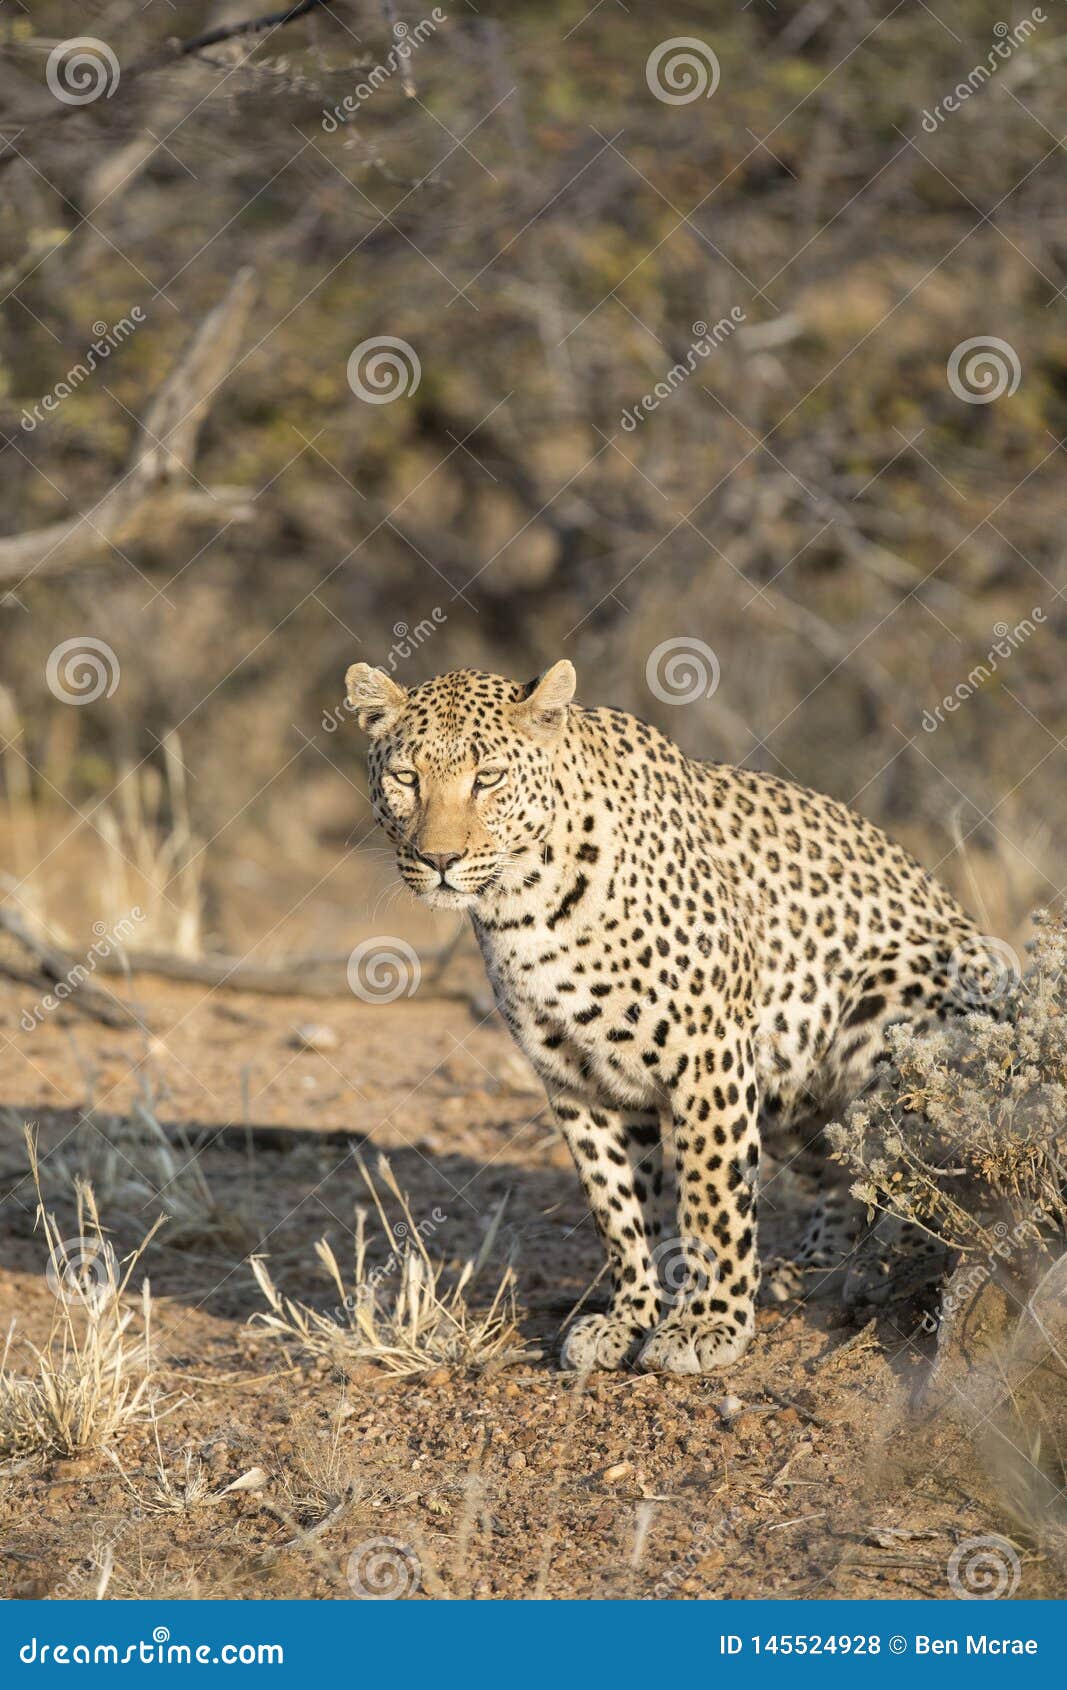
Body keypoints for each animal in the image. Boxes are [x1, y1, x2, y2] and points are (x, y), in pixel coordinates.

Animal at [344, 657, 991, 1375]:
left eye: (488, 778)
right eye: (407, 778)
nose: (439, 861)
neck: (521, 907)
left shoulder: (707, 1055)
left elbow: (712, 1197)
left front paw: (706, 1325)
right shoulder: (576, 1081)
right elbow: (619, 1208)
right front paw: (630, 1316)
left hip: (896, 1007)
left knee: (930, 1176)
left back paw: (888, 1264)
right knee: (839, 1173)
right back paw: (809, 1268)